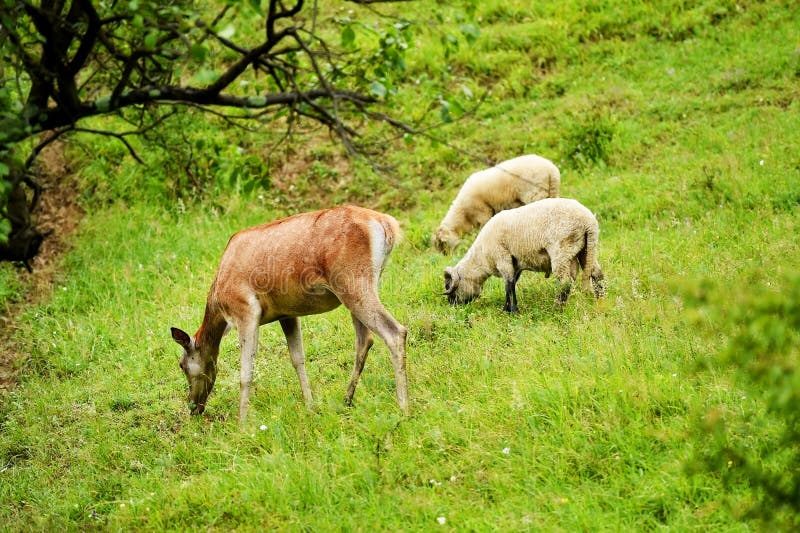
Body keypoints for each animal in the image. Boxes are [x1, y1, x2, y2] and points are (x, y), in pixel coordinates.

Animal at [170, 205, 409, 425]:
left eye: (182, 364)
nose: (193, 406)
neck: (219, 302)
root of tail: (387, 225)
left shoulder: (246, 310)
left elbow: (246, 372)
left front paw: (243, 424)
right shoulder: (287, 314)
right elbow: (298, 359)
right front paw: (310, 406)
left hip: (353, 283)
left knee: (395, 332)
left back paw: (403, 407)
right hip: (360, 288)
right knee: (365, 339)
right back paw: (347, 399)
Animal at [433, 154, 561, 253]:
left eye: (442, 244)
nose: (448, 256)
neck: (463, 215)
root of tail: (551, 170)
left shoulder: (482, 211)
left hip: (534, 193)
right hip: (552, 192)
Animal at [443, 198, 605, 312]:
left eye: (448, 286)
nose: (452, 305)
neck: (481, 257)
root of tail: (588, 222)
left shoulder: (503, 258)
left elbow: (508, 285)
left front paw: (510, 311)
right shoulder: (516, 263)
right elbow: (512, 284)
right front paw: (510, 308)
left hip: (561, 250)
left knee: (565, 282)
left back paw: (557, 308)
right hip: (586, 249)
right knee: (597, 274)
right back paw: (601, 300)